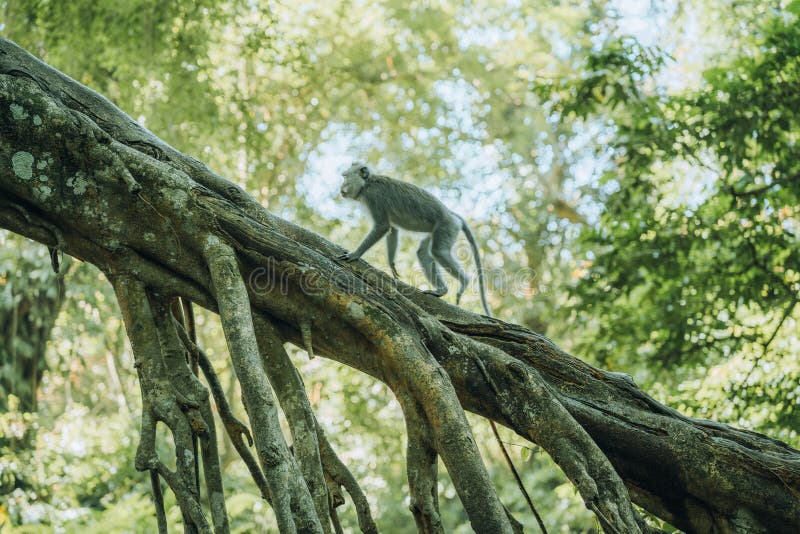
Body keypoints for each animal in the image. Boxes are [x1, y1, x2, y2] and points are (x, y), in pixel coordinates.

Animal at [337, 162, 491, 317]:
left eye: (345, 177)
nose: (340, 188)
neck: (367, 183)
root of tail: (451, 214)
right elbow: (393, 229)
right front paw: (391, 263)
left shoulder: (374, 197)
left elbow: (382, 227)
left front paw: (355, 254)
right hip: (436, 230)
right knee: (423, 253)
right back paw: (441, 291)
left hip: (447, 226)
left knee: (438, 252)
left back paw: (465, 281)